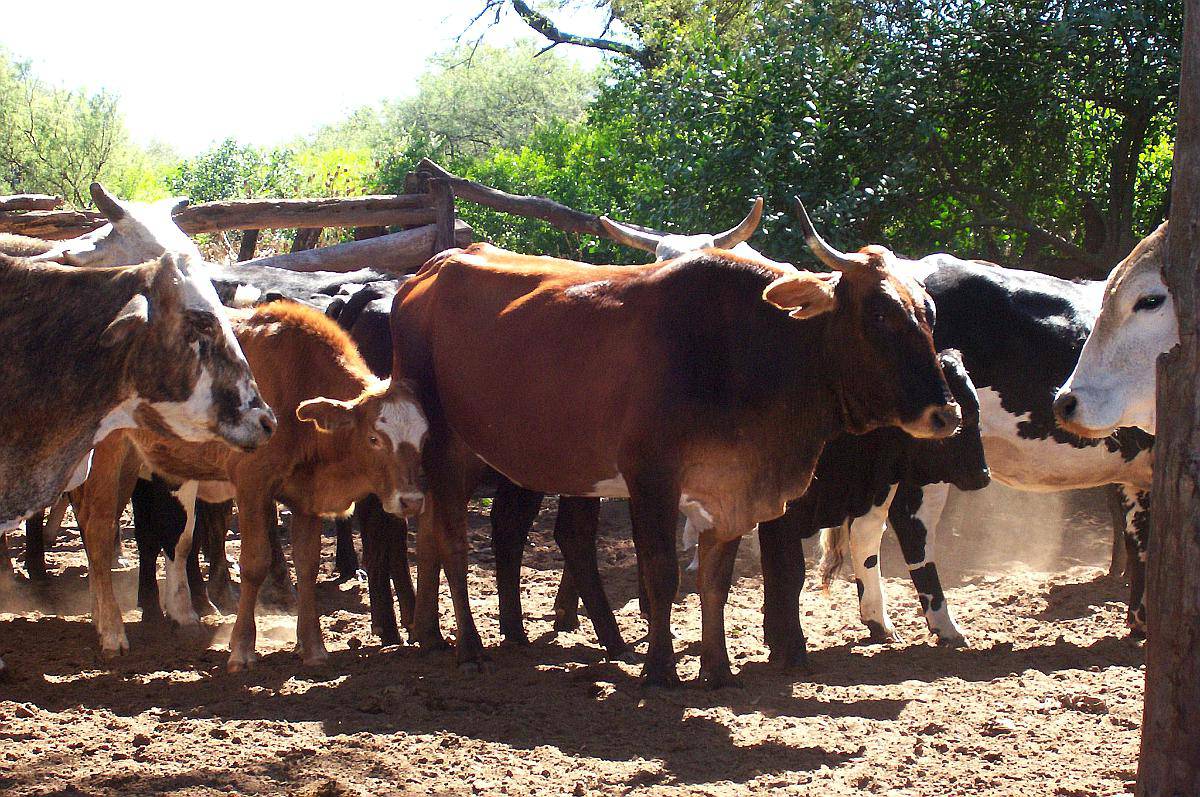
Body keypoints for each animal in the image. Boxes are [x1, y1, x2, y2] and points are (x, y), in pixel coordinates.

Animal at [74, 301, 428, 664]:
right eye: (374, 439)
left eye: (425, 437)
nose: (412, 500)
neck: (296, 381)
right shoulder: (251, 484)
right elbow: (254, 563)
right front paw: (242, 647)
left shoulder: (307, 495)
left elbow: (307, 565)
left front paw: (313, 646)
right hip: (106, 453)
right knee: (99, 532)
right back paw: (113, 632)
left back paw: (101, 616)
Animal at [390, 202, 961, 687]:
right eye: (880, 314)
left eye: (930, 312)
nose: (947, 414)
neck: (743, 351)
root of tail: (433, 267)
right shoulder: (652, 479)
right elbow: (662, 571)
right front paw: (661, 668)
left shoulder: (728, 488)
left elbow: (715, 580)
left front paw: (717, 667)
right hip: (442, 448)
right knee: (452, 540)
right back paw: (468, 647)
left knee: (443, 533)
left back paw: (436, 635)